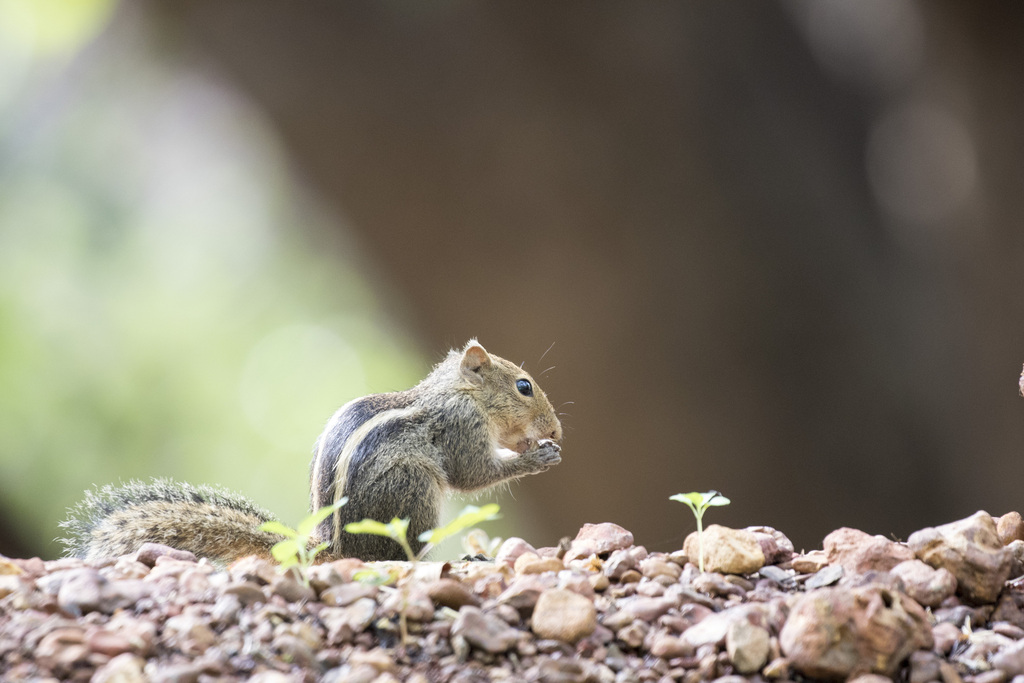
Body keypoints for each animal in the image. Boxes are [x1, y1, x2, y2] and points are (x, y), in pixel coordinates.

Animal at [60, 340, 563, 564]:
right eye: (524, 387)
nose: (556, 428)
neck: (456, 391)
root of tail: (335, 551)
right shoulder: (462, 427)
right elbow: (472, 475)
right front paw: (539, 455)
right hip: (413, 494)